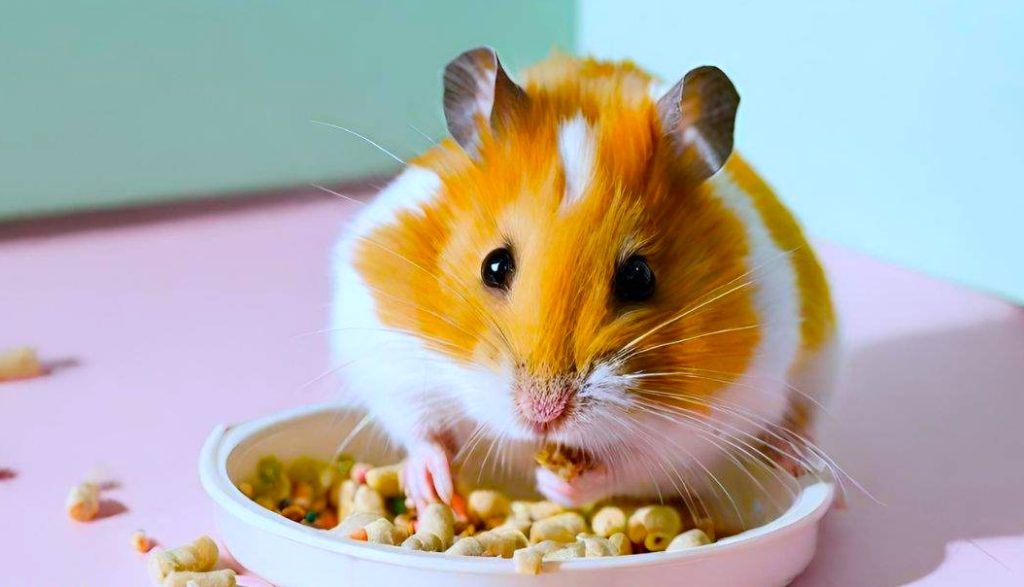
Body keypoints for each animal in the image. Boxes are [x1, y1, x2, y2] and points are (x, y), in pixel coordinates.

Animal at [330, 47, 837, 511]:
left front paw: (556, 485)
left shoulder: (706, 426)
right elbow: (421, 429)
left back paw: (796, 455)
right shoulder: (385, 342)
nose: (543, 415)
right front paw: (434, 490)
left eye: (639, 277)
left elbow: (632, 467)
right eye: (493, 265)